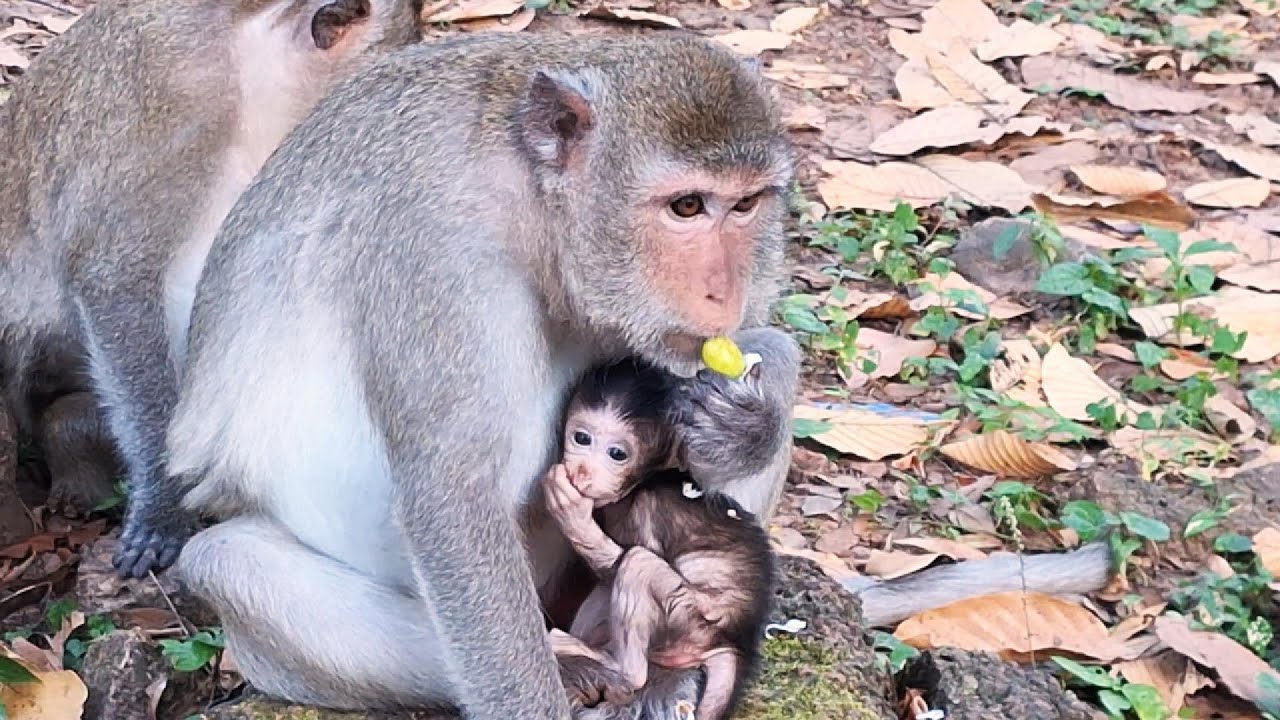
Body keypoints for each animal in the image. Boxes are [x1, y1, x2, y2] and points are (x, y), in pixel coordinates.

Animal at [542, 360, 775, 720]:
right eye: (582, 438)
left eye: (617, 453)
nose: (582, 471)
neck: (643, 482)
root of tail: (733, 641)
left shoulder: (647, 509)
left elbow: (617, 566)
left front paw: (571, 513)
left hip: (688, 621)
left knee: (637, 564)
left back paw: (614, 668)